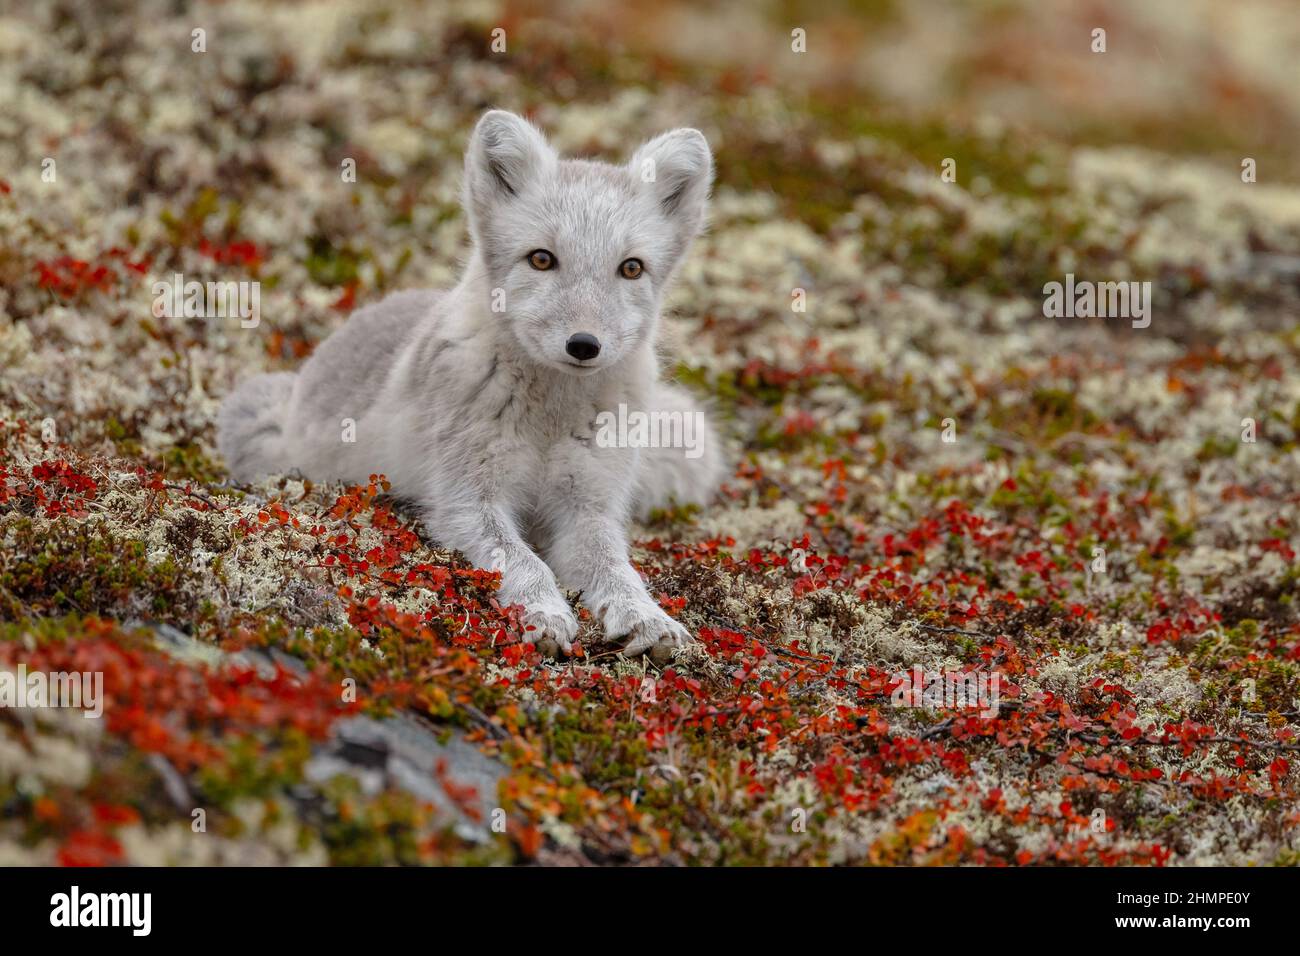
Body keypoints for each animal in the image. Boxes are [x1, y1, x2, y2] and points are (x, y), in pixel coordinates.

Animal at [217, 110, 726, 660]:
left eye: (631, 268)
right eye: (541, 259)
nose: (584, 344)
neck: (549, 418)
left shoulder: (590, 507)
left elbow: (617, 568)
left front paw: (646, 617)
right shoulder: (465, 499)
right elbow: (523, 560)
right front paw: (544, 612)